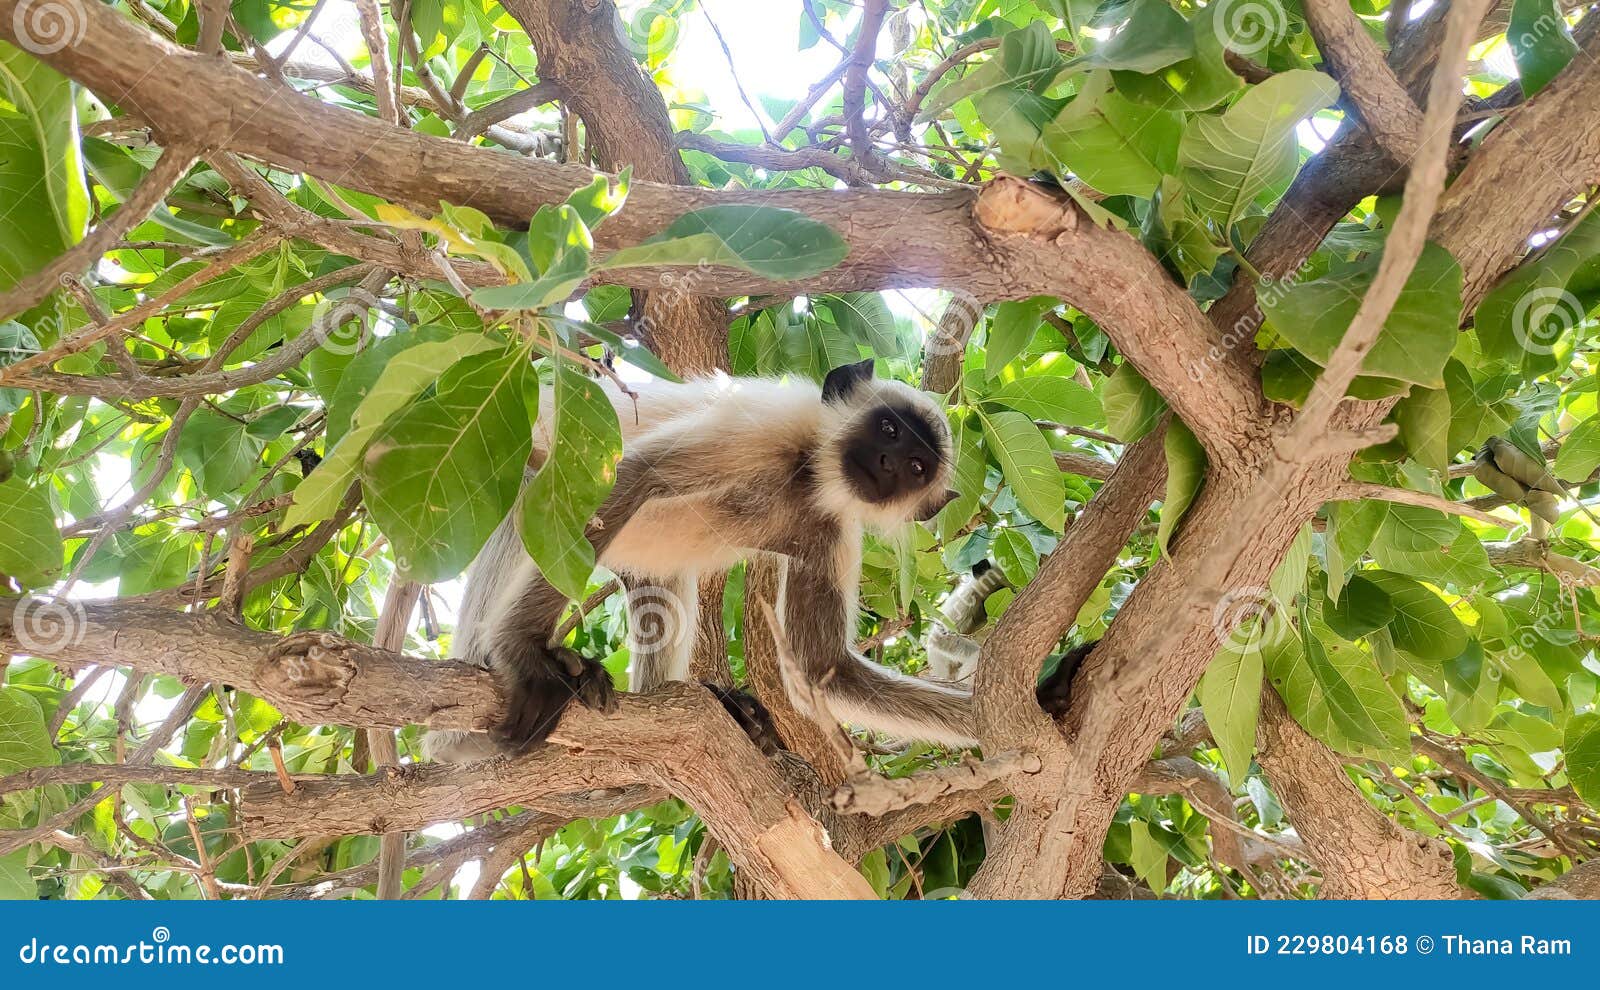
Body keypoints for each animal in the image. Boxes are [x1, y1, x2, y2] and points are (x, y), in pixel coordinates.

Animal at [424, 359, 1084, 762]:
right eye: (890, 430)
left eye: (918, 467)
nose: (887, 464)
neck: (807, 480)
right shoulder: (766, 430)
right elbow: (632, 473)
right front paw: (524, 654)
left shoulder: (829, 530)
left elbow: (824, 670)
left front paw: (1048, 692)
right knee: (539, 498)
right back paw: (461, 730)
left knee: (658, 595)